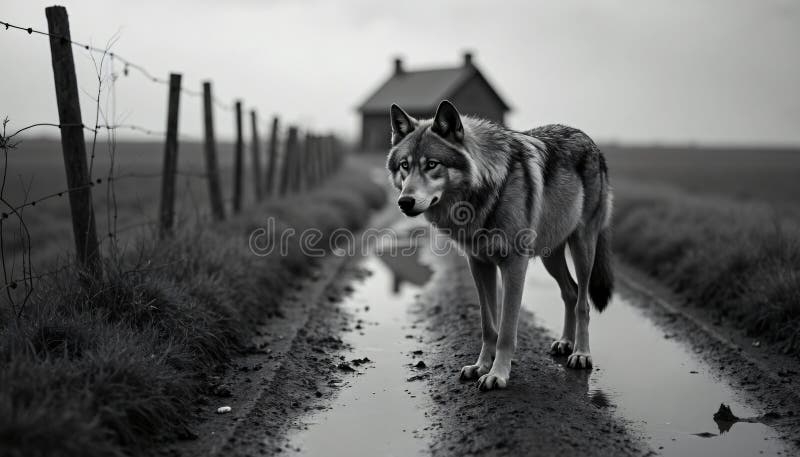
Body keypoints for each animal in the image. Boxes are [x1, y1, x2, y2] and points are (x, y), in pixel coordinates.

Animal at [386, 100, 613, 390]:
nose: (404, 202)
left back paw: (581, 353)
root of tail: (590, 141)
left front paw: (498, 374)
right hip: (550, 256)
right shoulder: (479, 264)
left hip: (582, 249)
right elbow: (488, 325)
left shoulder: (514, 266)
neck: (488, 190)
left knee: (582, 302)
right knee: (570, 292)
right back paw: (565, 342)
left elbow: (506, 329)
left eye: (432, 164)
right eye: (405, 165)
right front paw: (481, 366)